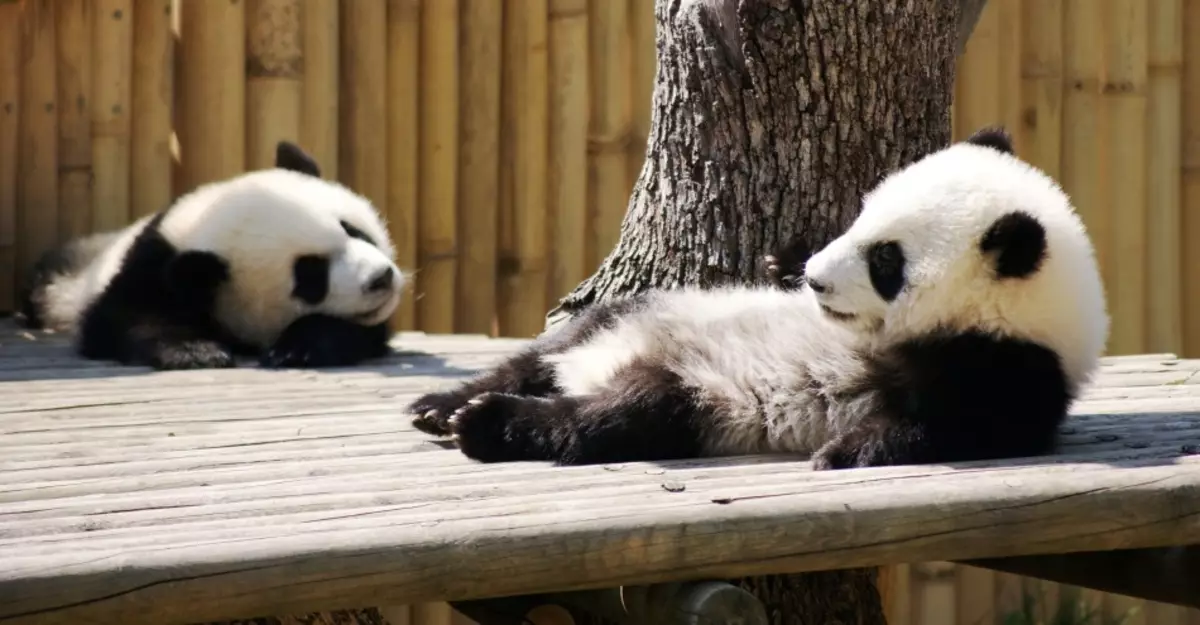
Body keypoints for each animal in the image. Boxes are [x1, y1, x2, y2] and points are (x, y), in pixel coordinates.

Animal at [17, 140, 408, 369]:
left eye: (353, 230)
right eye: (310, 275)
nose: (380, 278)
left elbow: (363, 331)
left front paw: (299, 348)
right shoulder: (145, 273)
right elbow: (120, 321)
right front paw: (194, 351)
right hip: (65, 279)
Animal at [403, 126, 1104, 467]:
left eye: (886, 261)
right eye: (861, 216)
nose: (817, 280)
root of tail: (595, 367)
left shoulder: (1009, 365)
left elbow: (962, 426)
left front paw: (843, 452)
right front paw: (785, 258)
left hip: (710, 399)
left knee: (619, 416)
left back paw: (490, 423)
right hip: (649, 308)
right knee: (550, 349)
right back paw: (444, 405)